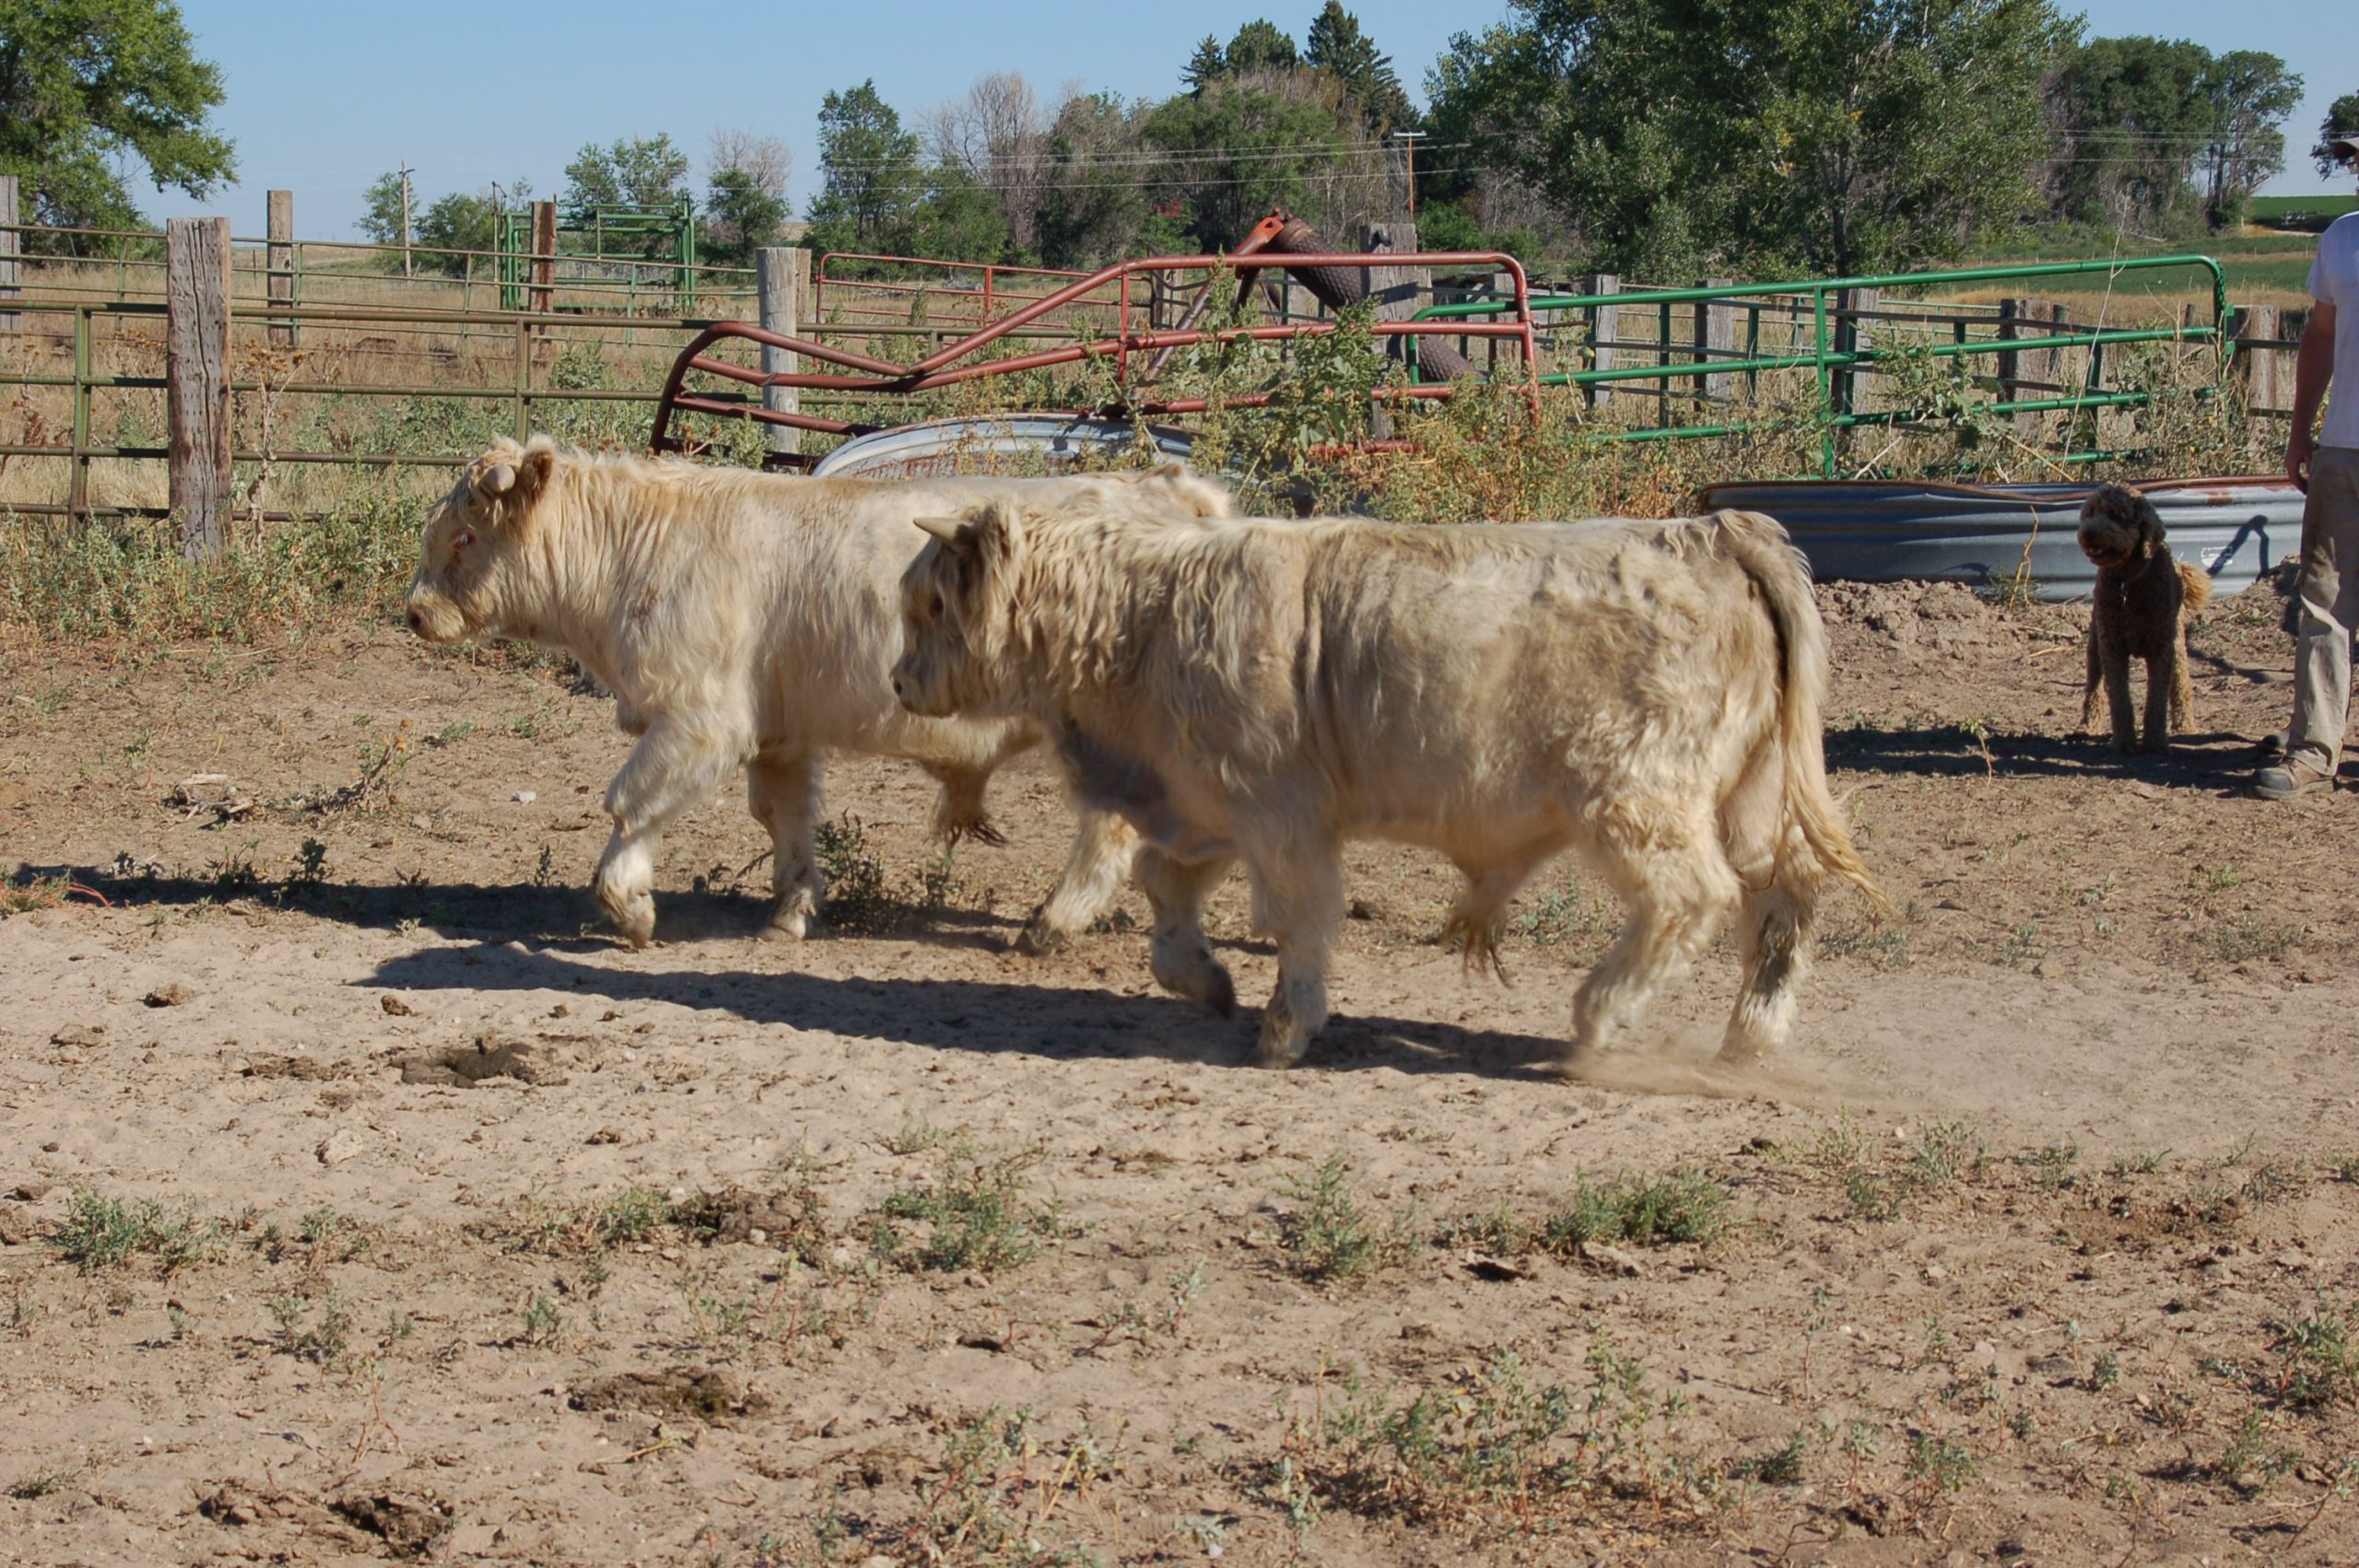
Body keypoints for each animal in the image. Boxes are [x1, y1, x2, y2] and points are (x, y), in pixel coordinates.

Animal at [403, 435, 1233, 950]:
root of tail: (1165, 488)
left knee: (1112, 829)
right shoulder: (777, 734)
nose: (413, 613)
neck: (637, 550)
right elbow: (785, 820)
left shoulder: (700, 719)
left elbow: (630, 803)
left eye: (466, 538)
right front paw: (793, 910)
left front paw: (629, 906)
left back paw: (1054, 923)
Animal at [891, 501, 1889, 1071]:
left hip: (1640, 798)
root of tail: (1708, 530)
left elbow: (1296, 921)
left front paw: (1284, 1030)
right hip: (1752, 794)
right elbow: (1164, 895)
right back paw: (1749, 1036)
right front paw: (1208, 985)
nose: (898, 682)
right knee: (1782, 896)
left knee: (1692, 897)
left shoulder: (1279, 813)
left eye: (932, 603)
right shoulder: (1203, 802)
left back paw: (1600, 1018)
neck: (1148, 610)